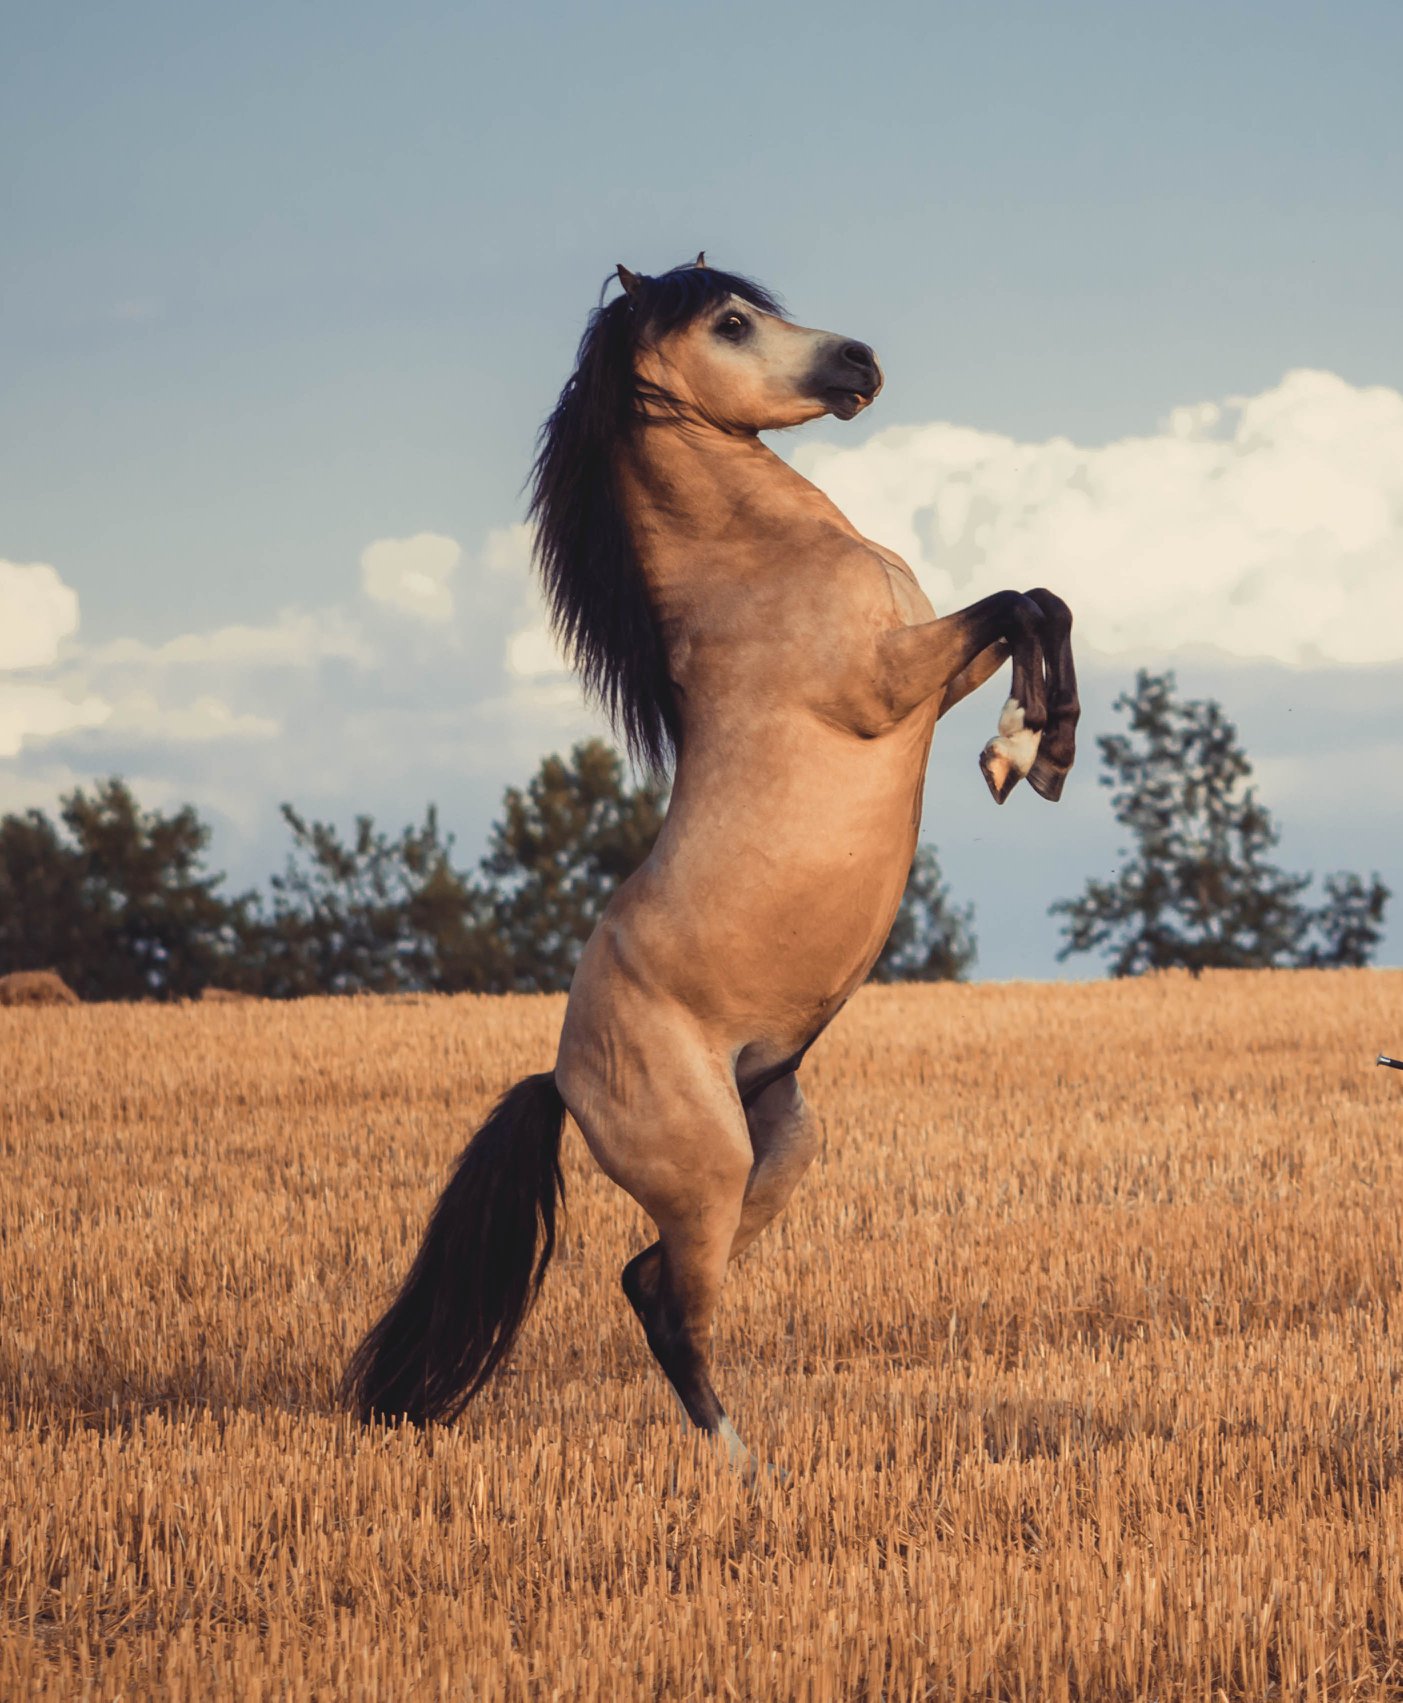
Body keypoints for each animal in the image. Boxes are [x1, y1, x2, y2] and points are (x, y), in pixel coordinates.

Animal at [343, 255, 1080, 1469]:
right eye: (731, 322)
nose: (859, 362)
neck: (760, 571)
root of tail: (564, 1077)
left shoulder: (932, 671)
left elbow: (1037, 605)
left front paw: (1040, 745)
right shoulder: (887, 684)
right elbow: (1021, 601)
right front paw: (1022, 753)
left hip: (774, 1150)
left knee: (644, 1279)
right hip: (705, 1174)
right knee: (665, 1307)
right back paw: (745, 1468)